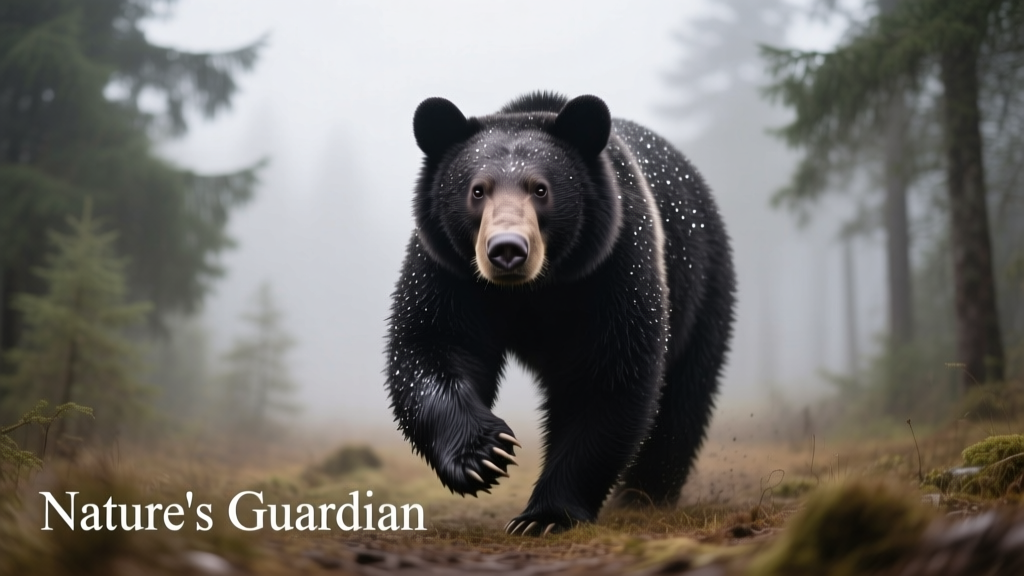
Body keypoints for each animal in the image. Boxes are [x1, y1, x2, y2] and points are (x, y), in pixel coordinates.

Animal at [385, 92, 735, 536]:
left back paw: (644, 496)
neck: (533, 289)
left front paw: (545, 516)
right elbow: (432, 343)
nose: (507, 250)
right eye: (477, 190)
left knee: (684, 397)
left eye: (541, 189)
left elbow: (607, 376)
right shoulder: (450, 269)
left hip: (702, 285)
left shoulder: (612, 266)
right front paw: (483, 455)